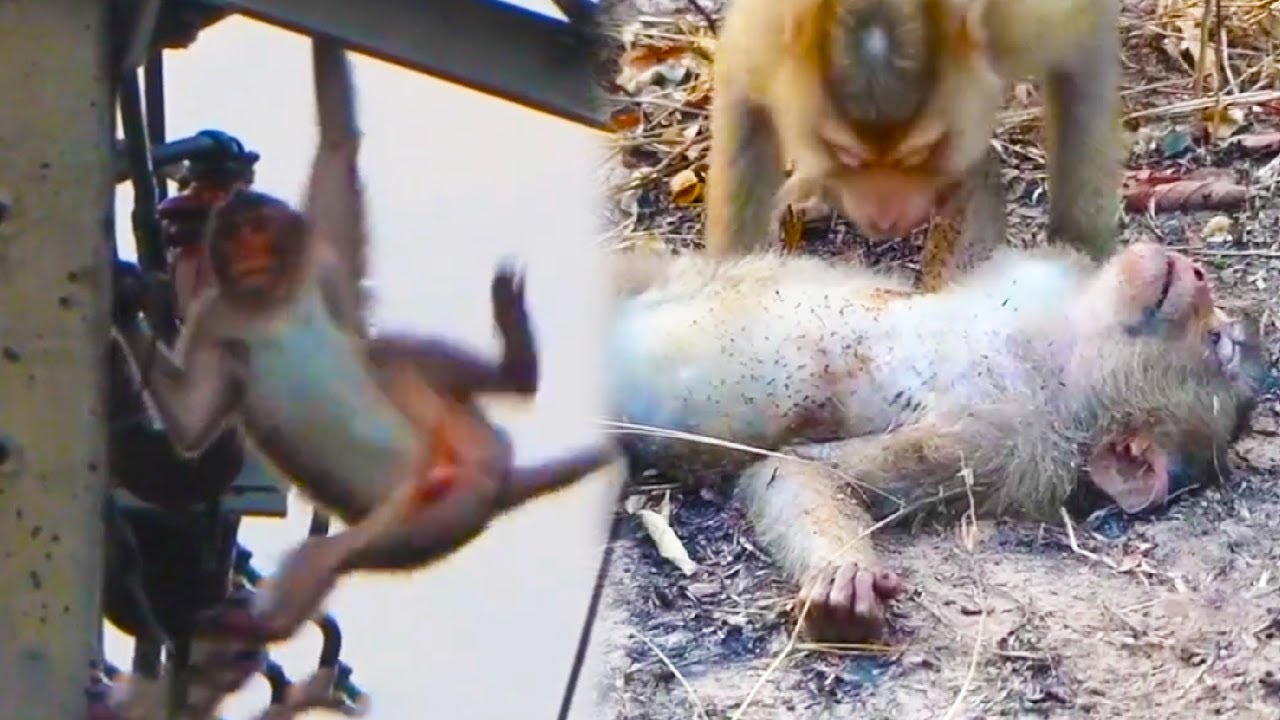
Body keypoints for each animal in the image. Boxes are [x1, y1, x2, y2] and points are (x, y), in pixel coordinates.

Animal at [111, 36, 618, 655]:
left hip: (451, 464)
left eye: (258, 229)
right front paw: (124, 294)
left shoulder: (321, 265)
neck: (269, 301)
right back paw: (254, 625)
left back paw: (515, 369)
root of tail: (495, 483)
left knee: (386, 358)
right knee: (329, 555)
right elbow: (191, 423)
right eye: (232, 235)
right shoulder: (213, 317)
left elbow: (338, 148)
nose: (248, 250)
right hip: (425, 520)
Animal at [605, 241, 1265, 642]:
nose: (1198, 273)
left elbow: (794, 469)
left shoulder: (1004, 436)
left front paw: (845, 581)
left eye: (1218, 345)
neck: (1051, 356)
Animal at [703, 0, 1123, 290]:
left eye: (921, 153)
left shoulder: (1021, 25)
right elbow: (738, 86)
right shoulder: (769, 40)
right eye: (844, 154)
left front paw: (1080, 247)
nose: (885, 217)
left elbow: (1086, 48)